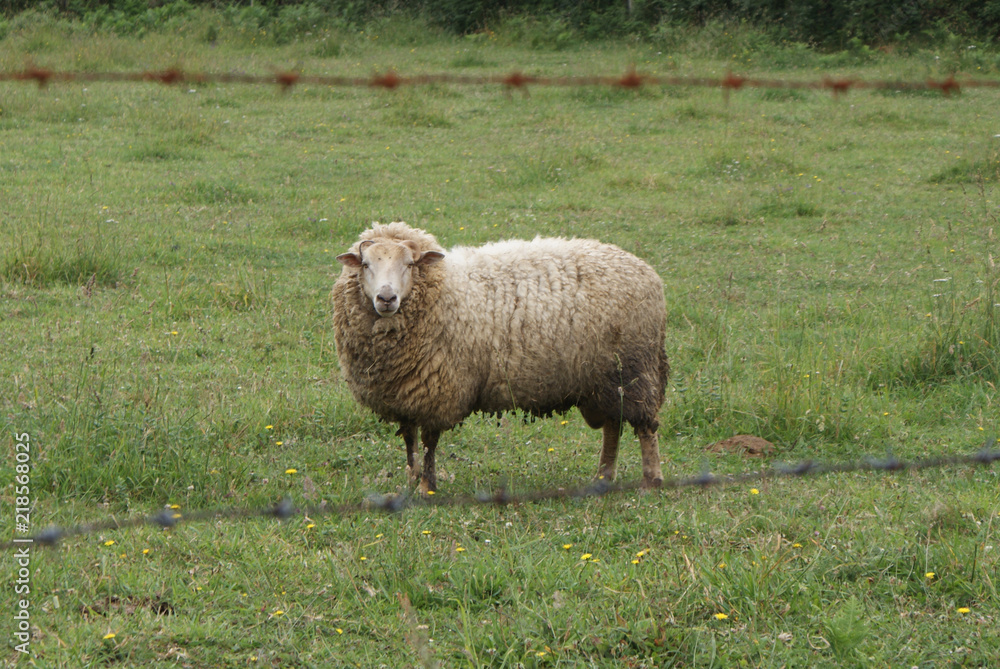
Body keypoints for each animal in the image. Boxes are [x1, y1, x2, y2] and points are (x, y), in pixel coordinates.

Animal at [331, 222, 669, 493]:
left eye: (410, 264)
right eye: (365, 264)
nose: (386, 298)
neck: (444, 291)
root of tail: (646, 271)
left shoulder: (438, 390)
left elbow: (428, 443)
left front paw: (427, 486)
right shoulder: (405, 396)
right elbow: (410, 442)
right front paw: (412, 482)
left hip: (633, 369)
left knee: (645, 427)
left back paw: (650, 481)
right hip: (603, 379)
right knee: (613, 425)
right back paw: (602, 478)